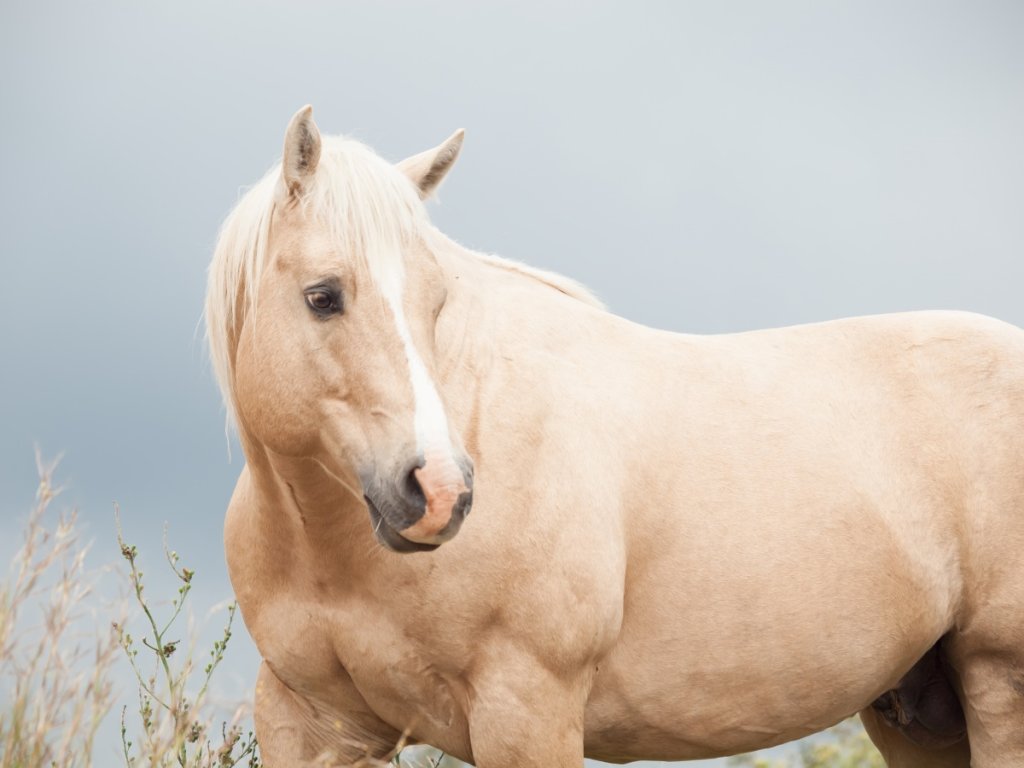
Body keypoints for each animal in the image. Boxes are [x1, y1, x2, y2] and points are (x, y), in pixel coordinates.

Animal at [206, 105, 1024, 768]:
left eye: (436, 300)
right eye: (323, 297)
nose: (441, 491)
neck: (334, 555)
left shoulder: (526, 711)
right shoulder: (314, 723)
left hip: (997, 686)